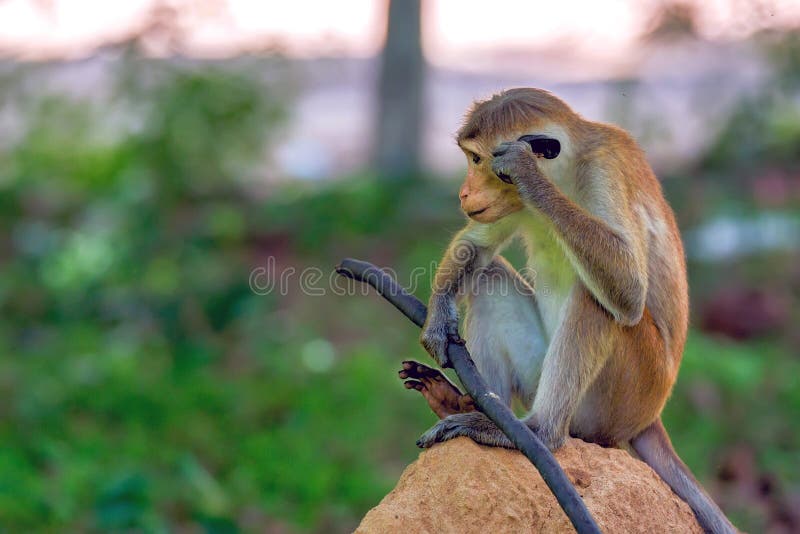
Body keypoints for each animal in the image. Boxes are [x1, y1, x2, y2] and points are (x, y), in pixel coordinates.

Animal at [400, 88, 736, 533]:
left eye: (477, 159)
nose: (463, 193)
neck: (566, 173)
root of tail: (651, 416)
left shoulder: (603, 169)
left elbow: (629, 290)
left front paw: (526, 172)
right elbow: (478, 244)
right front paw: (439, 319)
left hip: (622, 398)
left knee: (595, 298)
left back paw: (539, 434)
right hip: (539, 375)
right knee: (491, 278)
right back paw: (467, 405)